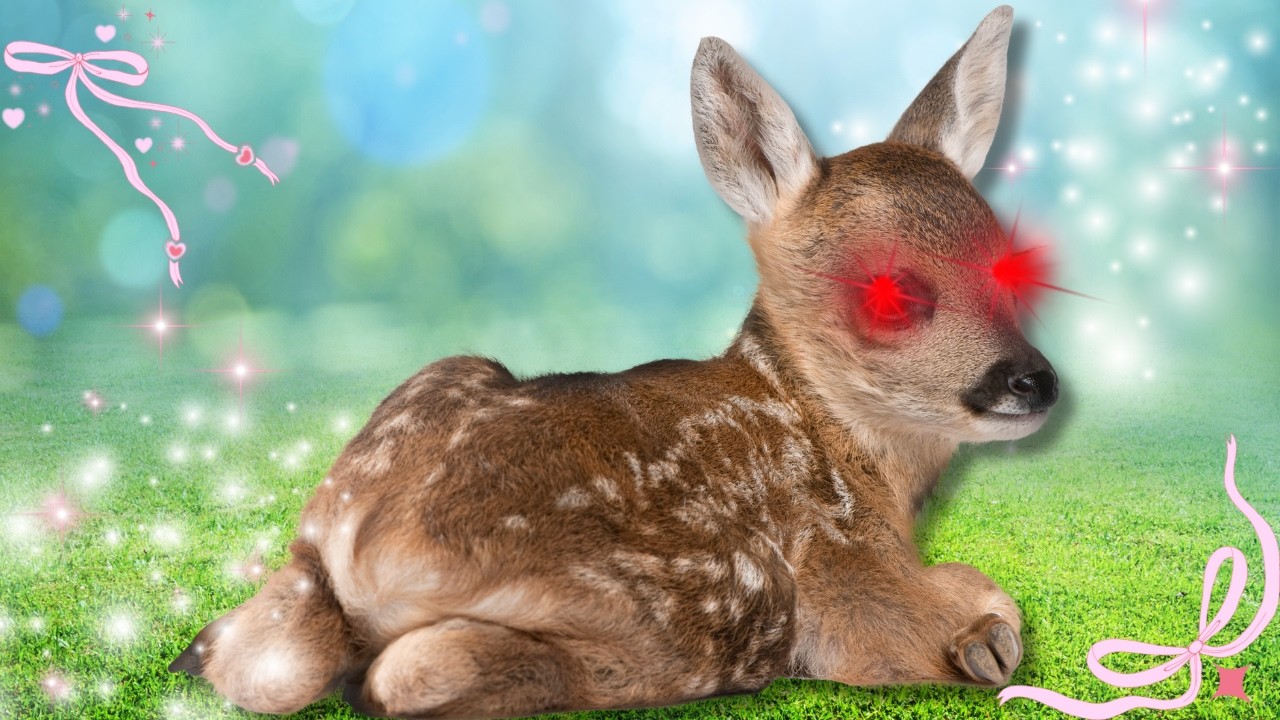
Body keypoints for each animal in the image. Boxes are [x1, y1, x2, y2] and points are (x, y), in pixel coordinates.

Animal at [170, 6, 1058, 718]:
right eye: (890, 292)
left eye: (1010, 262)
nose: (1035, 380)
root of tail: (365, 547)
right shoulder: (845, 578)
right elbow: (979, 606)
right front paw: (988, 643)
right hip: (677, 615)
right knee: (412, 670)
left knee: (260, 656)